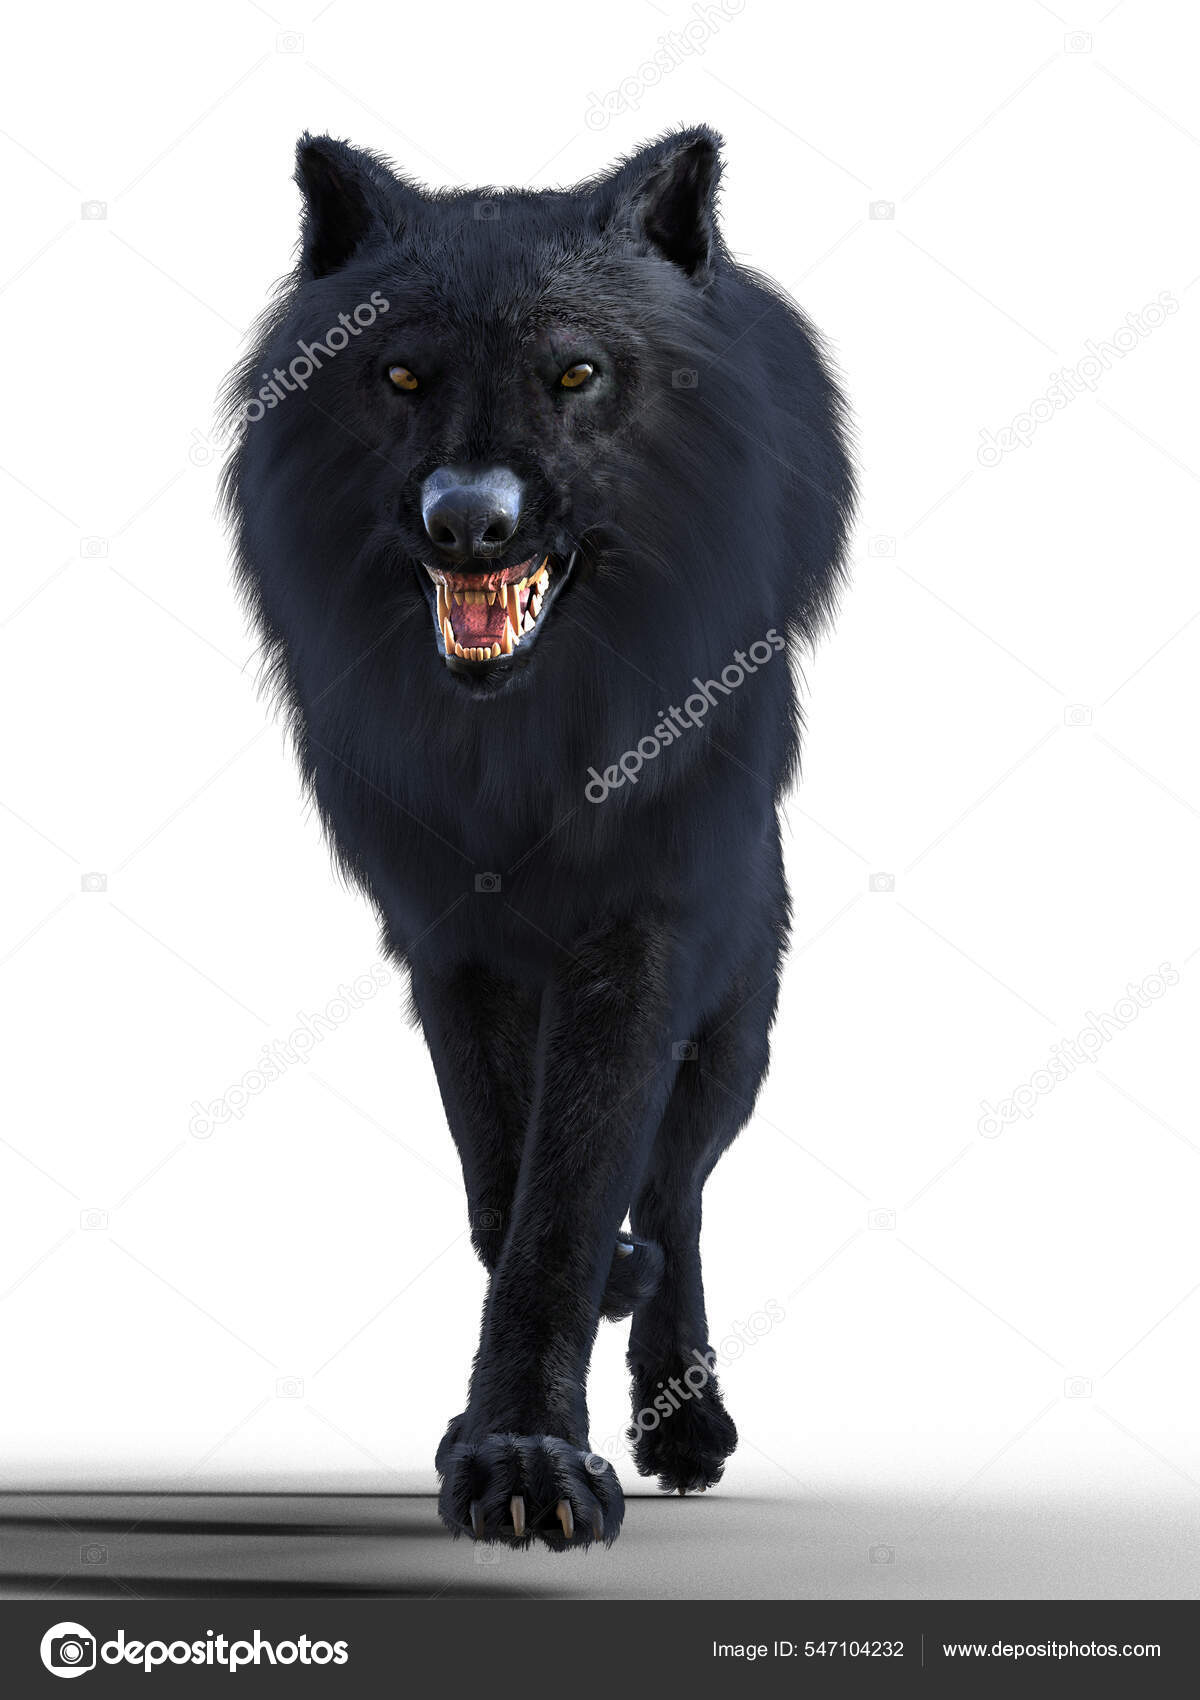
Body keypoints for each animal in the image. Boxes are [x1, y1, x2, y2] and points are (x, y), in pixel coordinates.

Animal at [222, 124, 853, 1548]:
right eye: (402, 374)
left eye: (576, 373)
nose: (470, 520)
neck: (520, 751)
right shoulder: (447, 934)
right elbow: (501, 1172)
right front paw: (493, 1435)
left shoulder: (642, 926)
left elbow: (570, 1195)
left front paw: (530, 1457)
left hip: (738, 1022)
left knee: (678, 1189)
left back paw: (685, 1417)